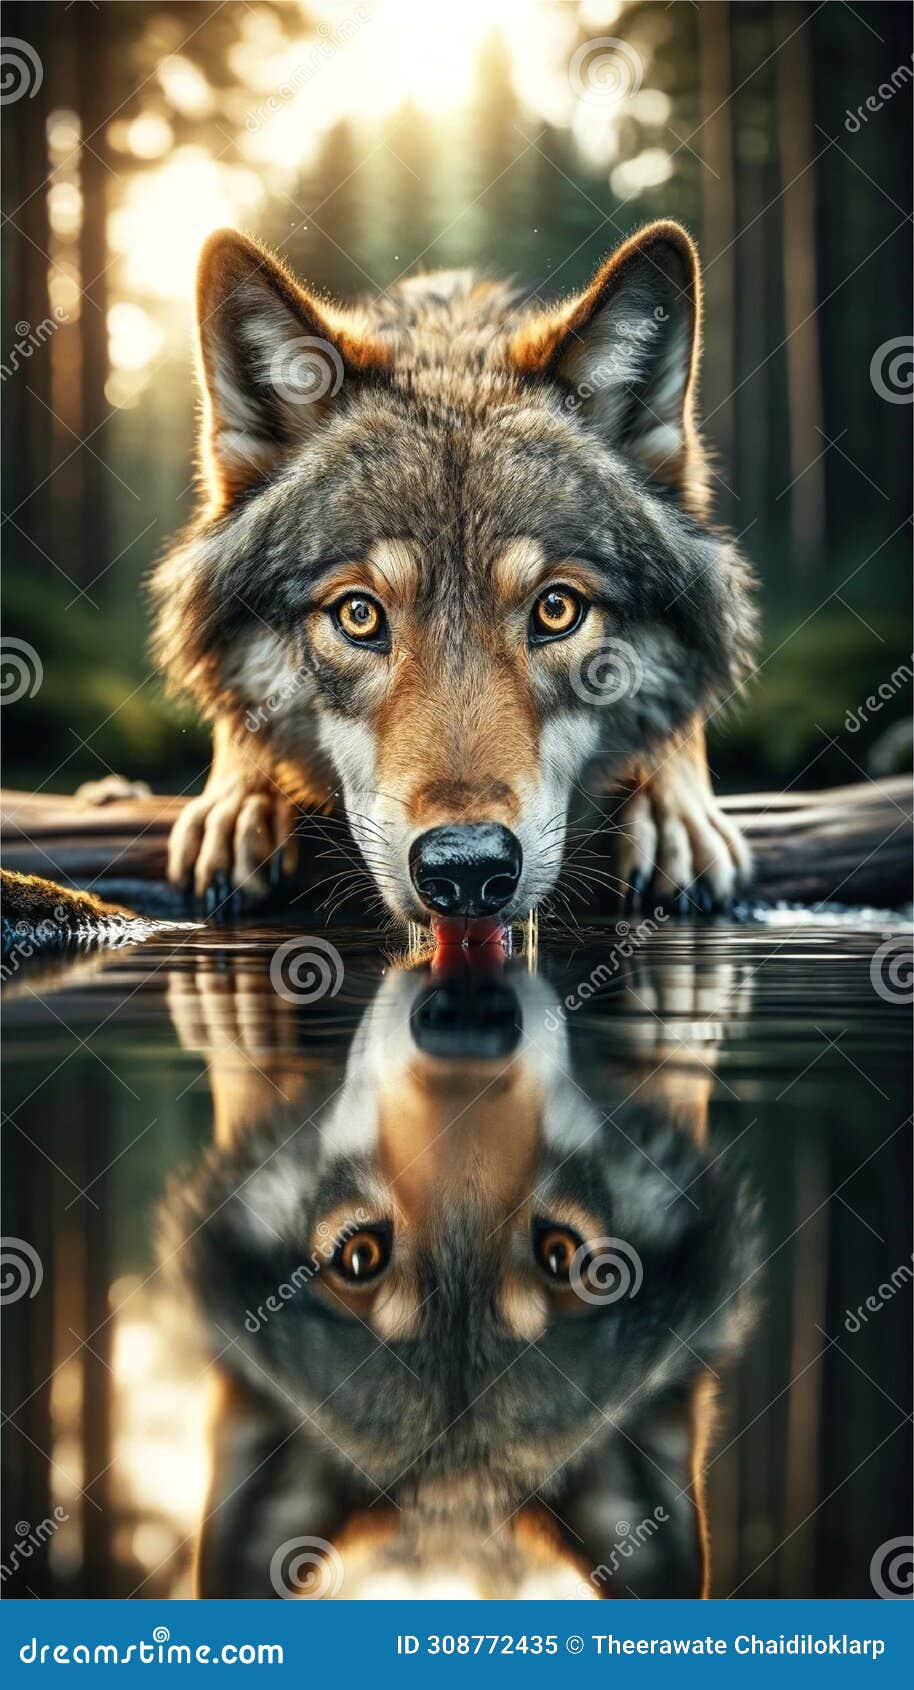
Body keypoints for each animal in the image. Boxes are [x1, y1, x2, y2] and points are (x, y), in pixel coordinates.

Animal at [152, 220, 757, 926]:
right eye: (359, 614)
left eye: (556, 609)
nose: (467, 868)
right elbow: (240, 720)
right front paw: (240, 798)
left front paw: (675, 809)